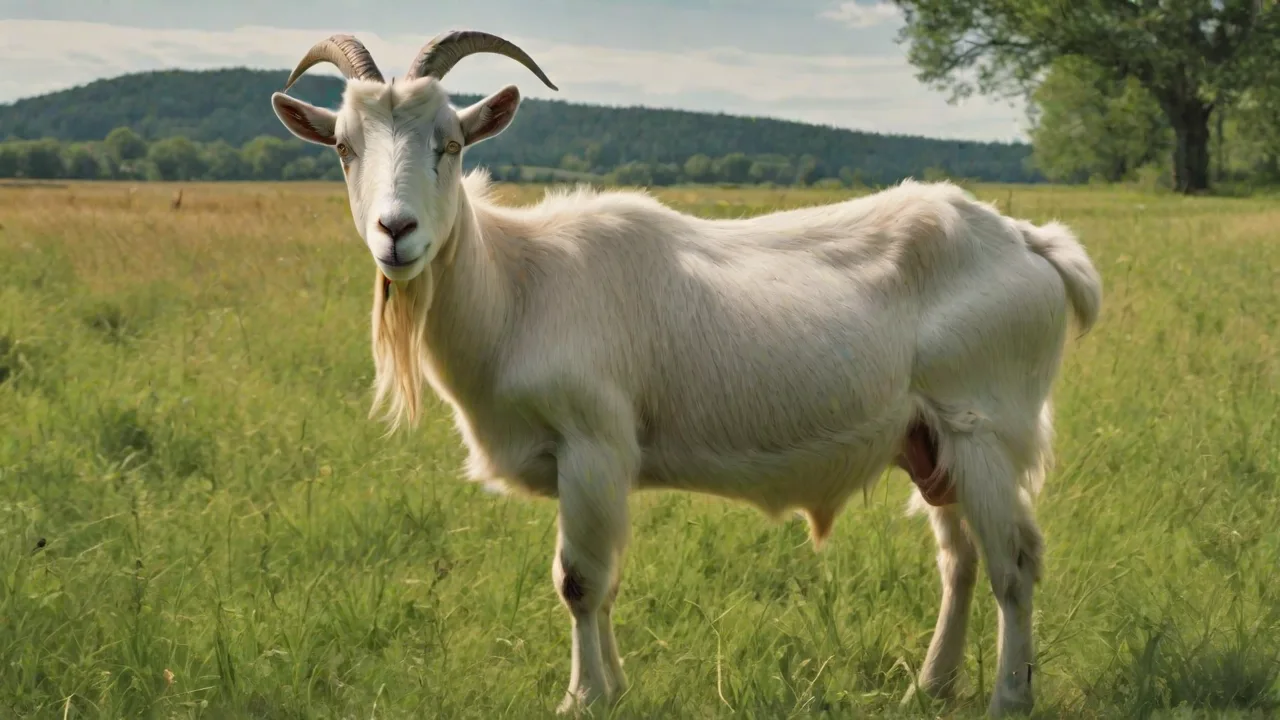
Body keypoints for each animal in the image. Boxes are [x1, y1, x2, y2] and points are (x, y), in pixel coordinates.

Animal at [270, 30, 1103, 717]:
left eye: (449, 142)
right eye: (342, 147)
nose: (397, 232)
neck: (518, 284)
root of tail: (1031, 242)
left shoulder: (593, 444)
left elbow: (579, 580)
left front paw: (582, 698)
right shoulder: (595, 465)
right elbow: (603, 581)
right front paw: (614, 689)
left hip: (984, 425)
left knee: (1014, 562)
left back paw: (1008, 697)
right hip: (931, 439)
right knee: (960, 558)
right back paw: (930, 686)